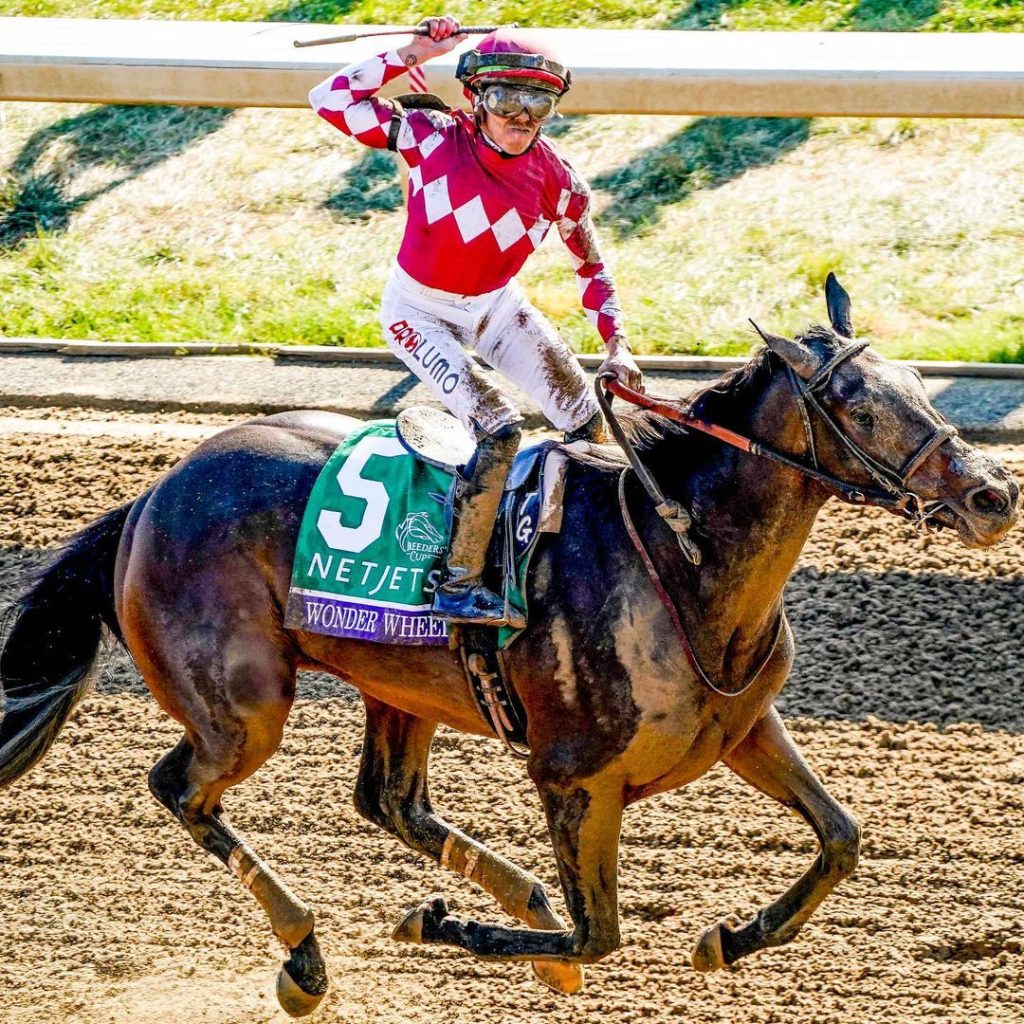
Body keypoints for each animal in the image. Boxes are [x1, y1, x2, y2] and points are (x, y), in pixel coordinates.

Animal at [0, 276, 1018, 1016]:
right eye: (860, 404)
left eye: (919, 386)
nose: (992, 496)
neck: (678, 557)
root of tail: (150, 498)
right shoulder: (573, 776)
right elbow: (599, 935)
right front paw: (442, 928)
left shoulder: (741, 728)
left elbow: (841, 838)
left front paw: (727, 937)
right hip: (242, 707)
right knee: (183, 786)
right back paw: (307, 957)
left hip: (397, 689)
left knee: (390, 802)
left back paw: (514, 893)